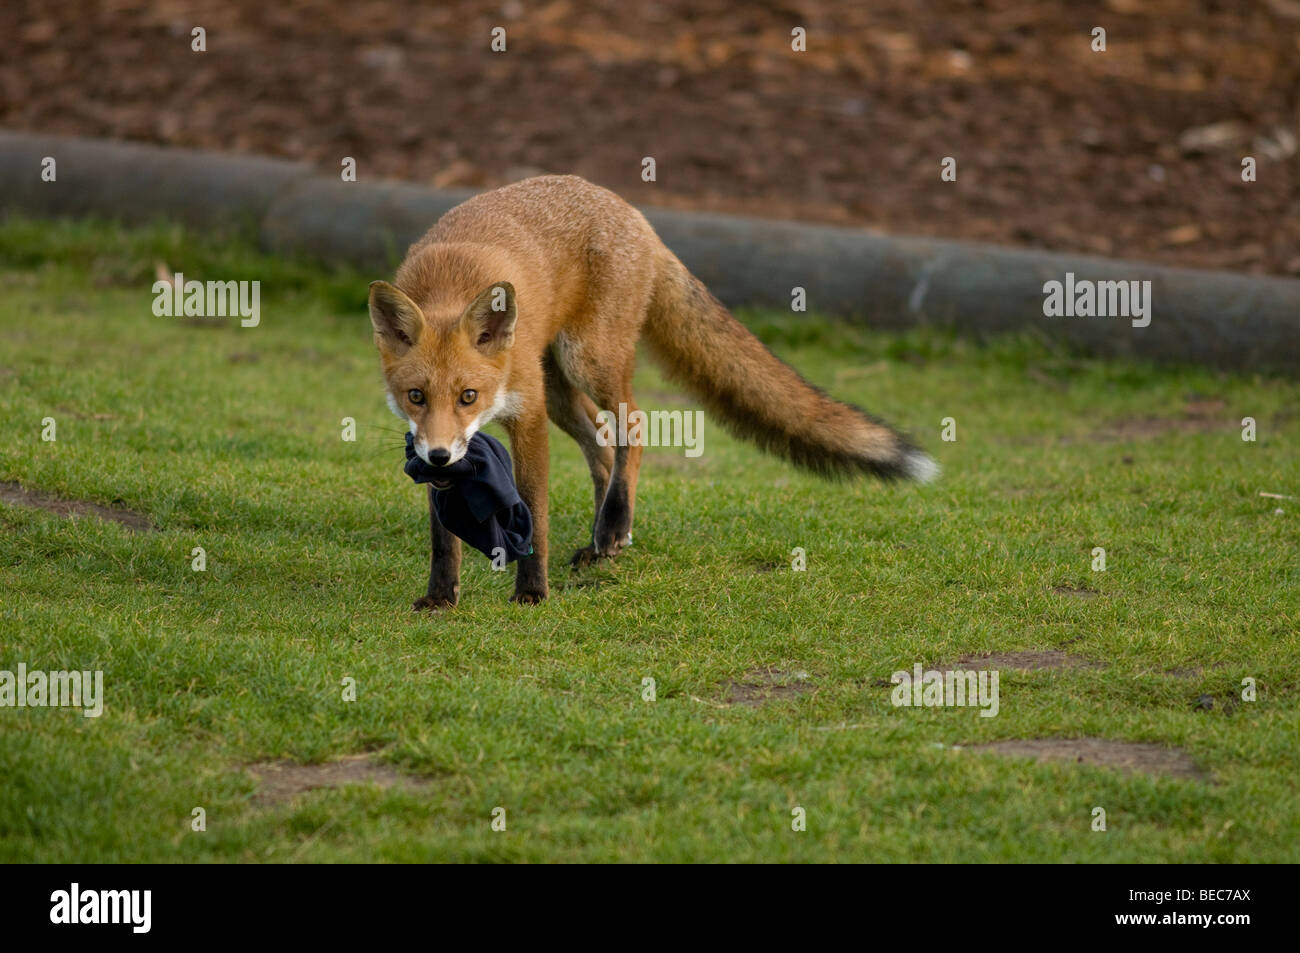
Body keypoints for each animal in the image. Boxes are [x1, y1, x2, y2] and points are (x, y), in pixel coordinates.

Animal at [369, 175, 937, 608]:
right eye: (417, 396)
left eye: (468, 396)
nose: (440, 458)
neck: (450, 287)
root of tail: (629, 209)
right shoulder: (436, 438)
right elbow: (442, 536)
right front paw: (441, 596)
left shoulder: (526, 419)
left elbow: (537, 513)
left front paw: (531, 592)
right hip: (559, 388)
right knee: (603, 447)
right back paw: (604, 539)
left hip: (586, 360)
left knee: (633, 425)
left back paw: (613, 525)